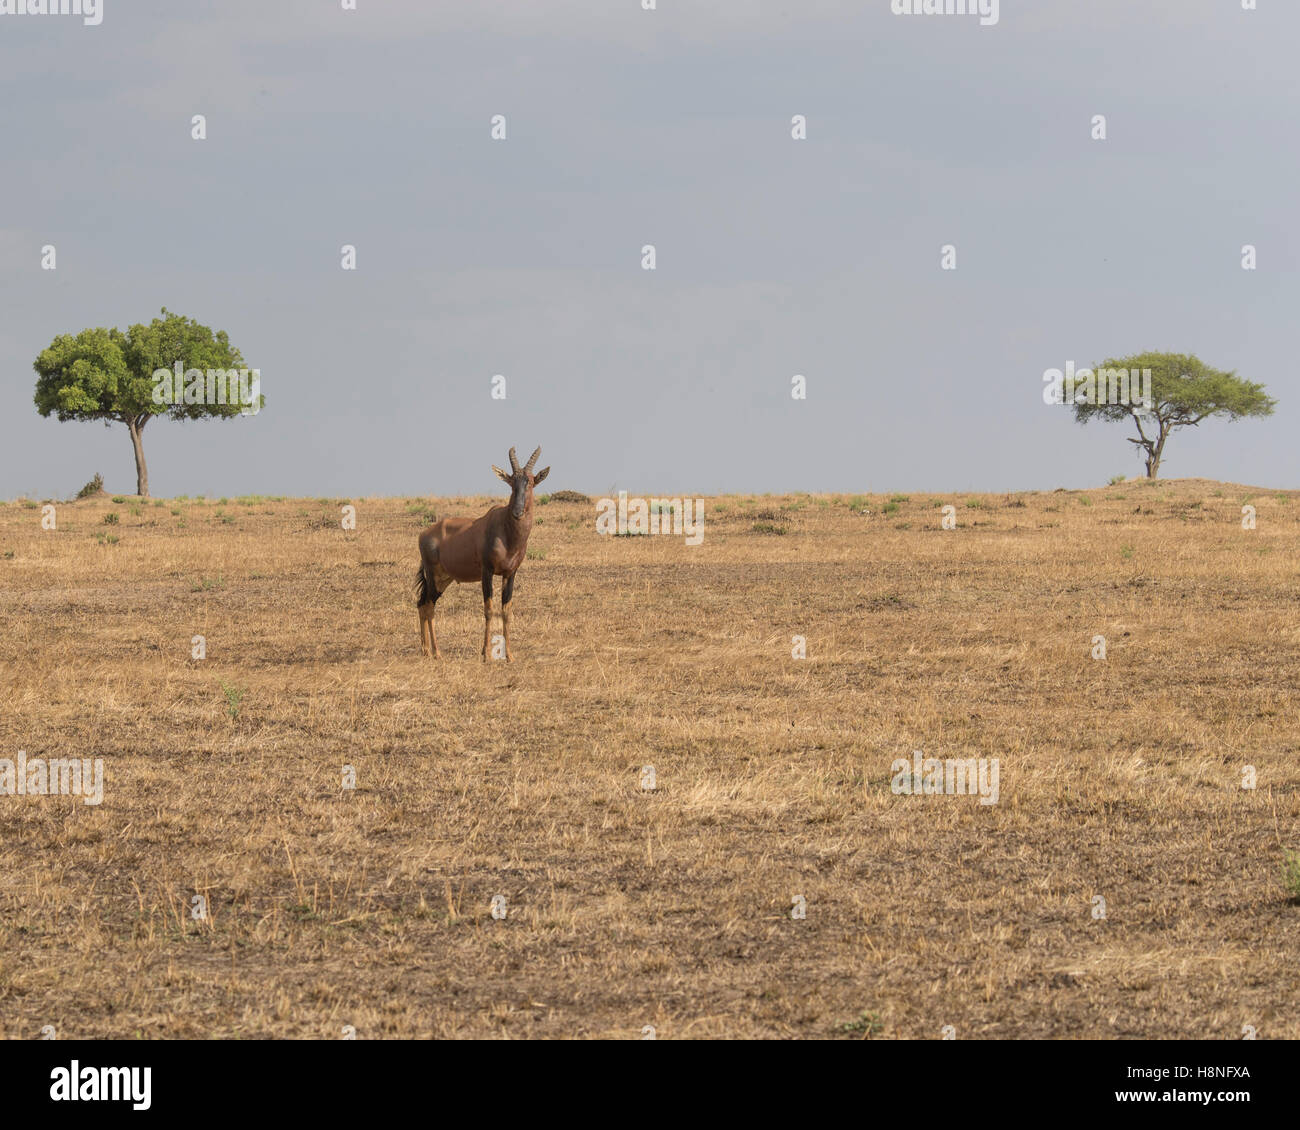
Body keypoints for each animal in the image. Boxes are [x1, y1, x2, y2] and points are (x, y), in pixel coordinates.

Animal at [415, 446, 550, 660]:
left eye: (530, 482)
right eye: (511, 482)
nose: (517, 512)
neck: (505, 529)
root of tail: (425, 533)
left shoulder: (510, 573)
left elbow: (506, 611)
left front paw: (509, 656)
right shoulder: (487, 571)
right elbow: (489, 609)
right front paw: (486, 654)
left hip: (444, 579)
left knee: (422, 604)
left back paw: (426, 650)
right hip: (433, 575)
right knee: (428, 606)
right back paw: (436, 652)